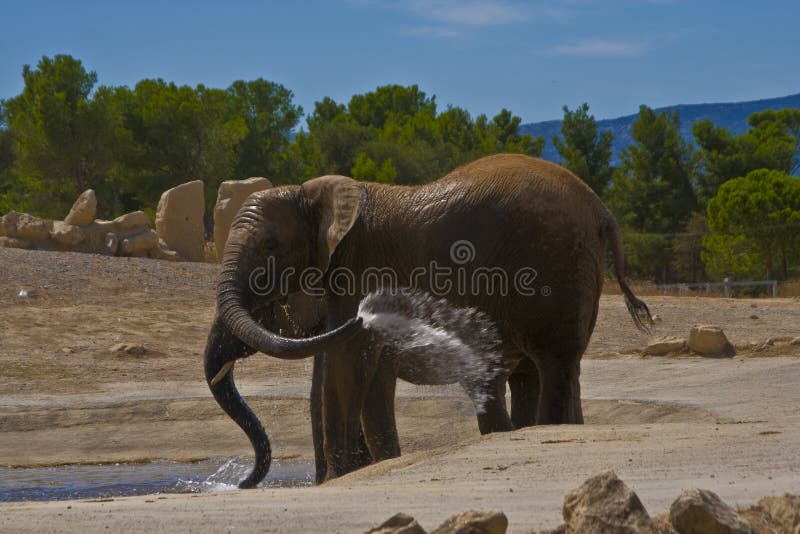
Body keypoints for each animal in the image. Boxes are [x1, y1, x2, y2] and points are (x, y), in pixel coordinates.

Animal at [204, 153, 652, 488]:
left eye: (270, 245)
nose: (241, 482)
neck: (316, 194)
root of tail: (601, 211)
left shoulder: (360, 270)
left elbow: (349, 364)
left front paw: (338, 478)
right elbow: (340, 373)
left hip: (551, 268)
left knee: (551, 366)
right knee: (541, 373)